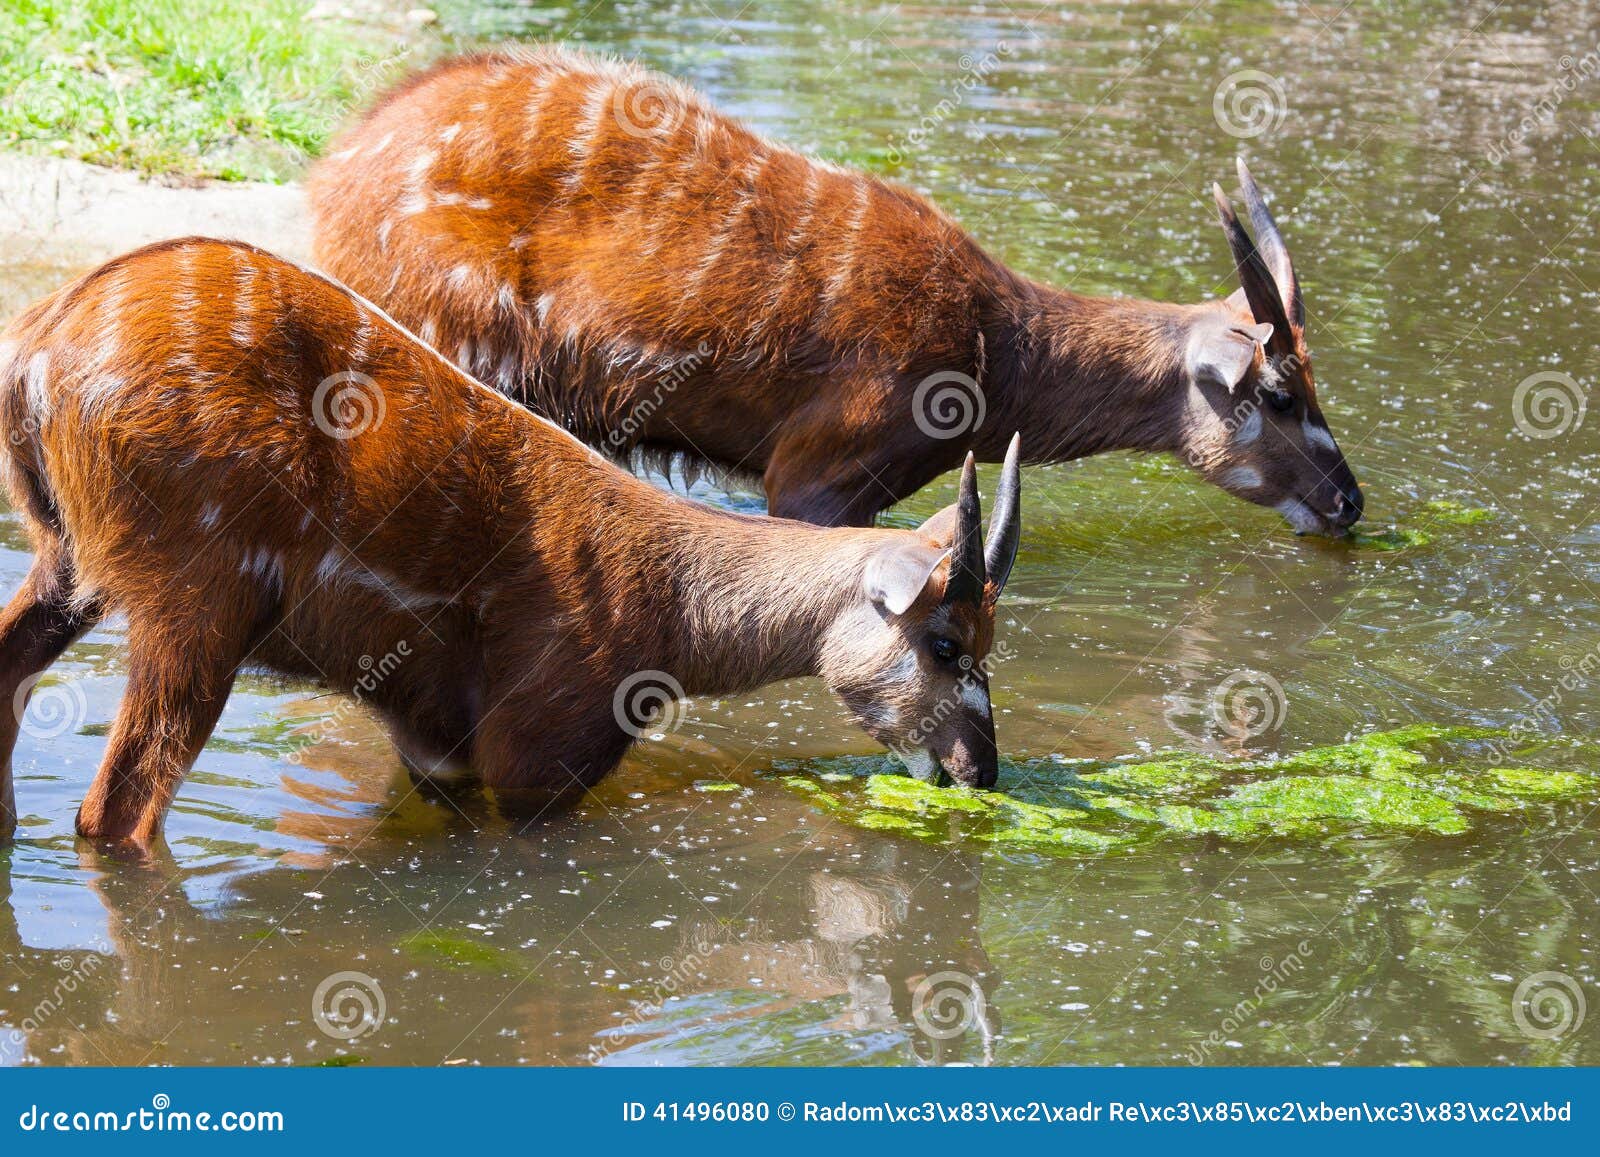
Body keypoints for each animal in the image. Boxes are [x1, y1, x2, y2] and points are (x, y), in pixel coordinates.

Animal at [0, 237, 1022, 849]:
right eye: (947, 641)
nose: (981, 769)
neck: (672, 612)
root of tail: (40, 348)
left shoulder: (436, 750)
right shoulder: (537, 761)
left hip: (66, 562)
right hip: (200, 600)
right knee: (112, 811)